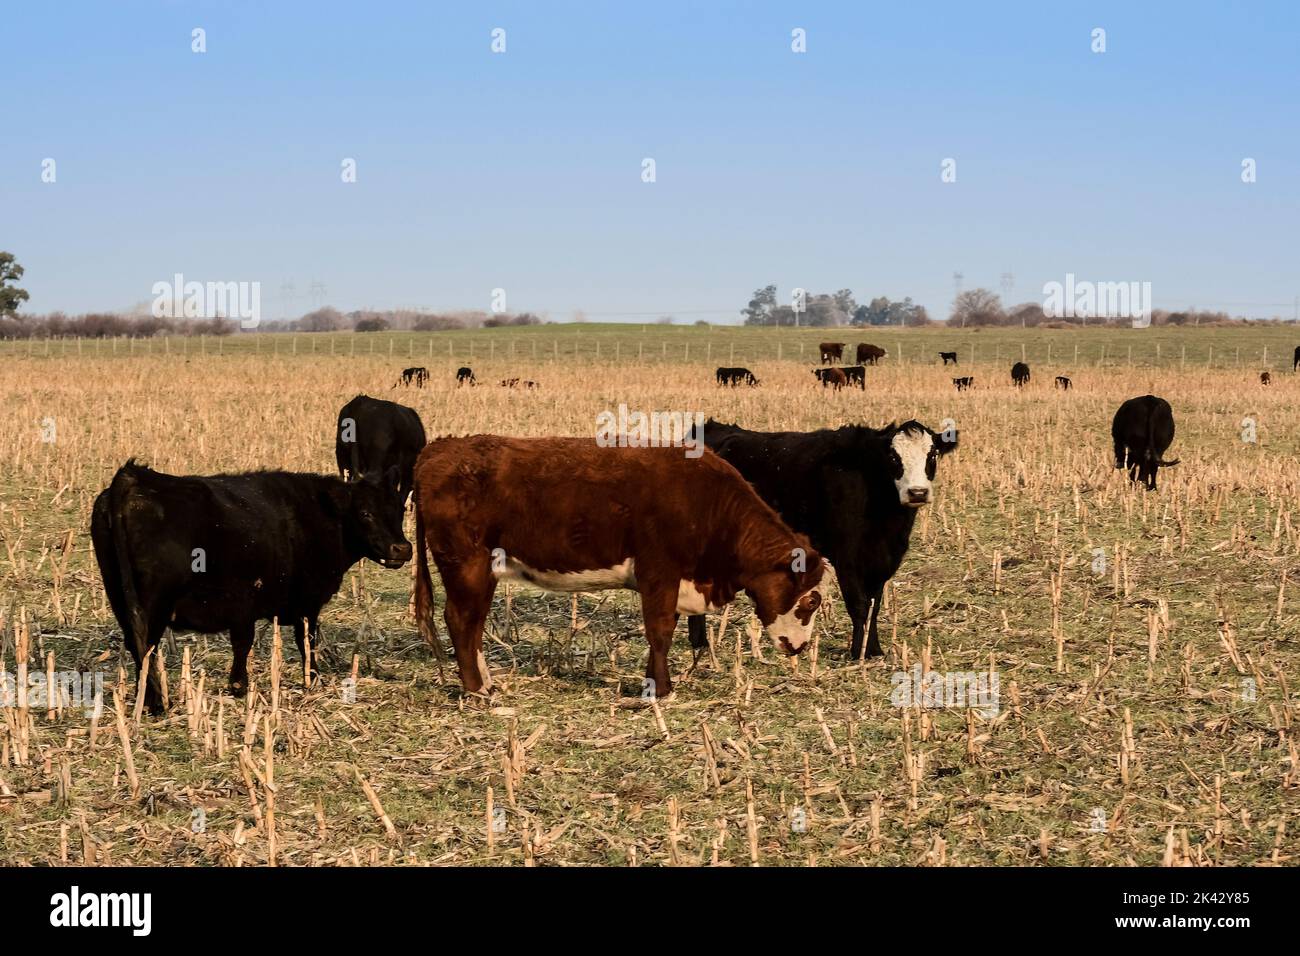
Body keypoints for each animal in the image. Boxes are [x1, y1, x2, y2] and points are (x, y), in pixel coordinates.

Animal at [90, 460, 412, 714]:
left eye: (399, 509)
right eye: (365, 513)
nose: (402, 549)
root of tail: (134, 476)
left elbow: (246, 643)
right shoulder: (300, 602)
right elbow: (302, 642)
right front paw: (305, 680)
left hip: (120, 596)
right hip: (155, 603)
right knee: (146, 647)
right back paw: (156, 704)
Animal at [411, 438, 826, 698]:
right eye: (811, 601)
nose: (801, 647)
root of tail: (440, 448)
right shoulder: (658, 571)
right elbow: (660, 631)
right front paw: (661, 690)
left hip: (483, 571)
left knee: (474, 623)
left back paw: (485, 681)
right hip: (465, 563)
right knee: (460, 620)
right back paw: (476, 689)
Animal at [685, 419, 958, 660]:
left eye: (932, 455)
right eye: (893, 457)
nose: (917, 492)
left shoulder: (882, 559)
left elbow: (875, 605)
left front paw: (874, 649)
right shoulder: (846, 557)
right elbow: (858, 604)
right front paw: (858, 653)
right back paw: (700, 643)